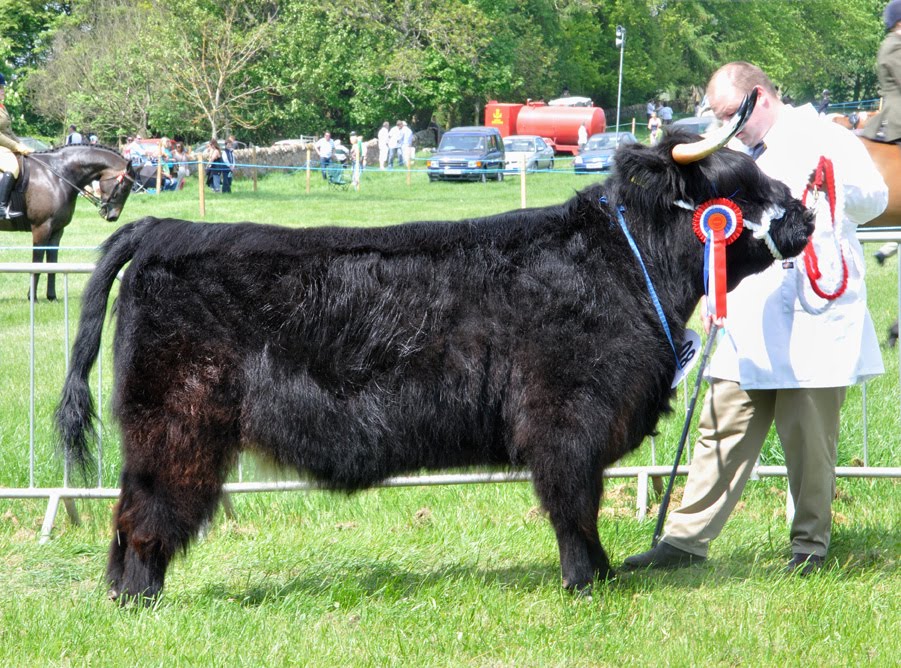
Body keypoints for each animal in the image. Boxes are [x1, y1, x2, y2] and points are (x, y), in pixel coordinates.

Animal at [56, 125, 813, 603]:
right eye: (736, 185)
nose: (805, 216)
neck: (619, 262)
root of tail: (165, 229)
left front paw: (599, 575)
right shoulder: (566, 420)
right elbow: (574, 505)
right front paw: (587, 581)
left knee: (128, 509)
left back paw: (122, 594)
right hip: (175, 424)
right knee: (145, 513)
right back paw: (139, 598)